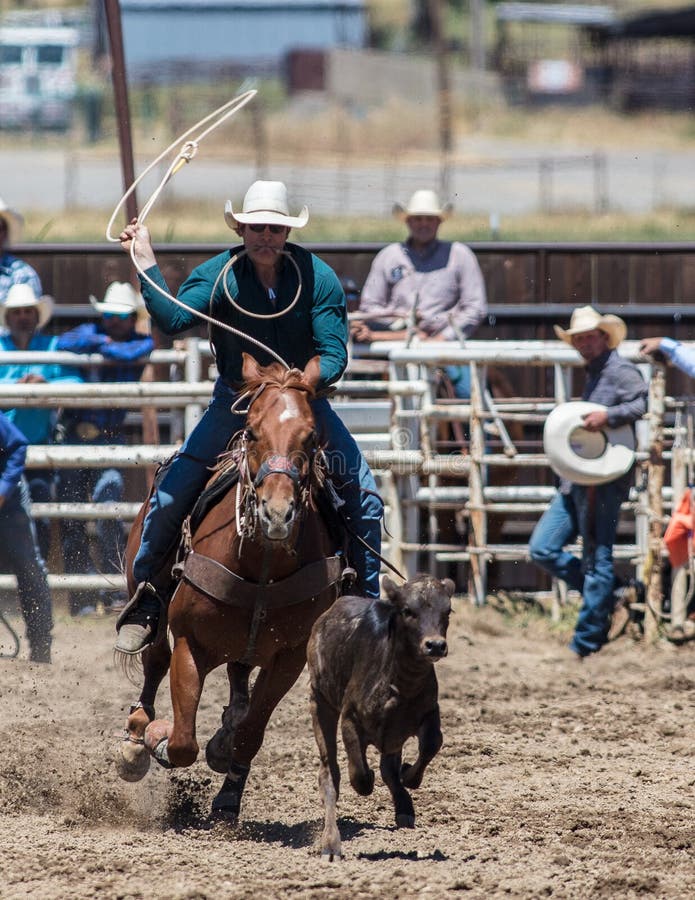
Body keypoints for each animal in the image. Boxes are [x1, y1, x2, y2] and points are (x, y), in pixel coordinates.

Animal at [307, 573, 455, 860]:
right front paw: (369, 779)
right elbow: (360, 775)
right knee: (330, 773)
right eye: (408, 610)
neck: (399, 684)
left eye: (448, 611)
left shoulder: (428, 712)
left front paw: (408, 775)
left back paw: (404, 806)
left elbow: (431, 744)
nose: (435, 645)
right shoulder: (350, 719)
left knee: (388, 768)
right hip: (320, 702)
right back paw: (330, 844)